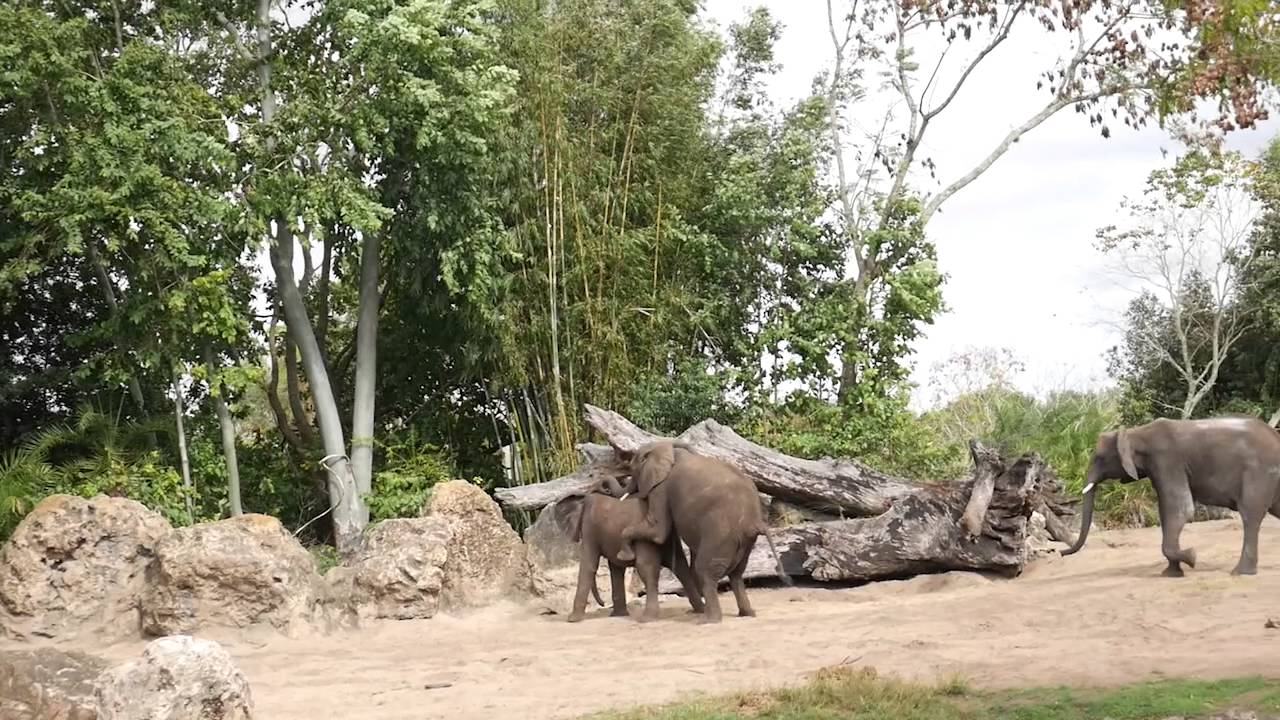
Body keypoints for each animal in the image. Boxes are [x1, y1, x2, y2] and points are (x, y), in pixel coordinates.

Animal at [554, 481, 705, 623]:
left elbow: (589, 565)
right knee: (680, 567)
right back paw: (699, 610)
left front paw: (572, 619)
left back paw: (647, 618)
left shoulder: (590, 528)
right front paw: (618, 615)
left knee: (646, 568)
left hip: (644, 539)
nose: (602, 603)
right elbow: (615, 569)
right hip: (667, 537)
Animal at [616, 441, 790, 624]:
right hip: (746, 540)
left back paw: (709, 620)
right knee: (737, 574)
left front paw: (624, 553)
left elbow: (657, 530)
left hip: (721, 534)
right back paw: (747, 613)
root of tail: (754, 522)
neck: (668, 448)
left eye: (633, 469)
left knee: (706, 571)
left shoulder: (661, 488)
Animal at [1060, 416, 1280, 576]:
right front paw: (1172, 573)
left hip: (1259, 473)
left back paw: (1241, 573)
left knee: (1250, 515)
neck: (1136, 432)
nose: (1061, 552)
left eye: (1100, 458)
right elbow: (1166, 512)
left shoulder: (1167, 461)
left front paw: (1192, 557)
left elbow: (1181, 509)